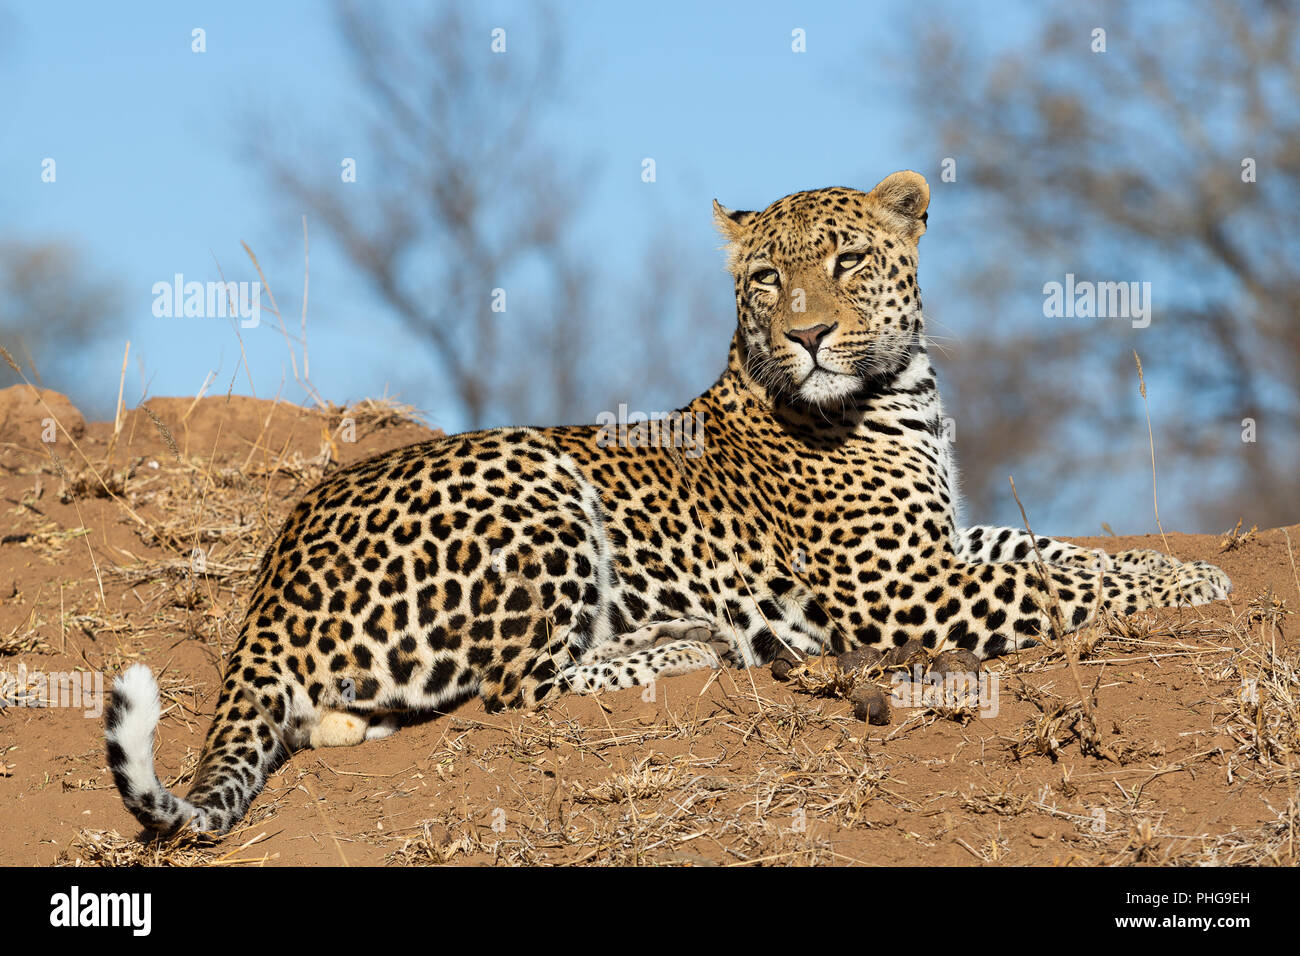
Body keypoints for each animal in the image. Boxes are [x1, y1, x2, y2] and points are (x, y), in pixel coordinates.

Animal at [105, 170, 1231, 836]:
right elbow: (1059, 580)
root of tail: (271, 580)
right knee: (517, 686)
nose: (808, 334)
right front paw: (1197, 582)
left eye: (848, 259)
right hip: (539, 482)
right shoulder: (901, 589)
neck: (900, 392)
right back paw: (698, 648)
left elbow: (1050, 548)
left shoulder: (938, 544)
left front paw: (1183, 560)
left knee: (358, 716)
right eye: (767, 277)